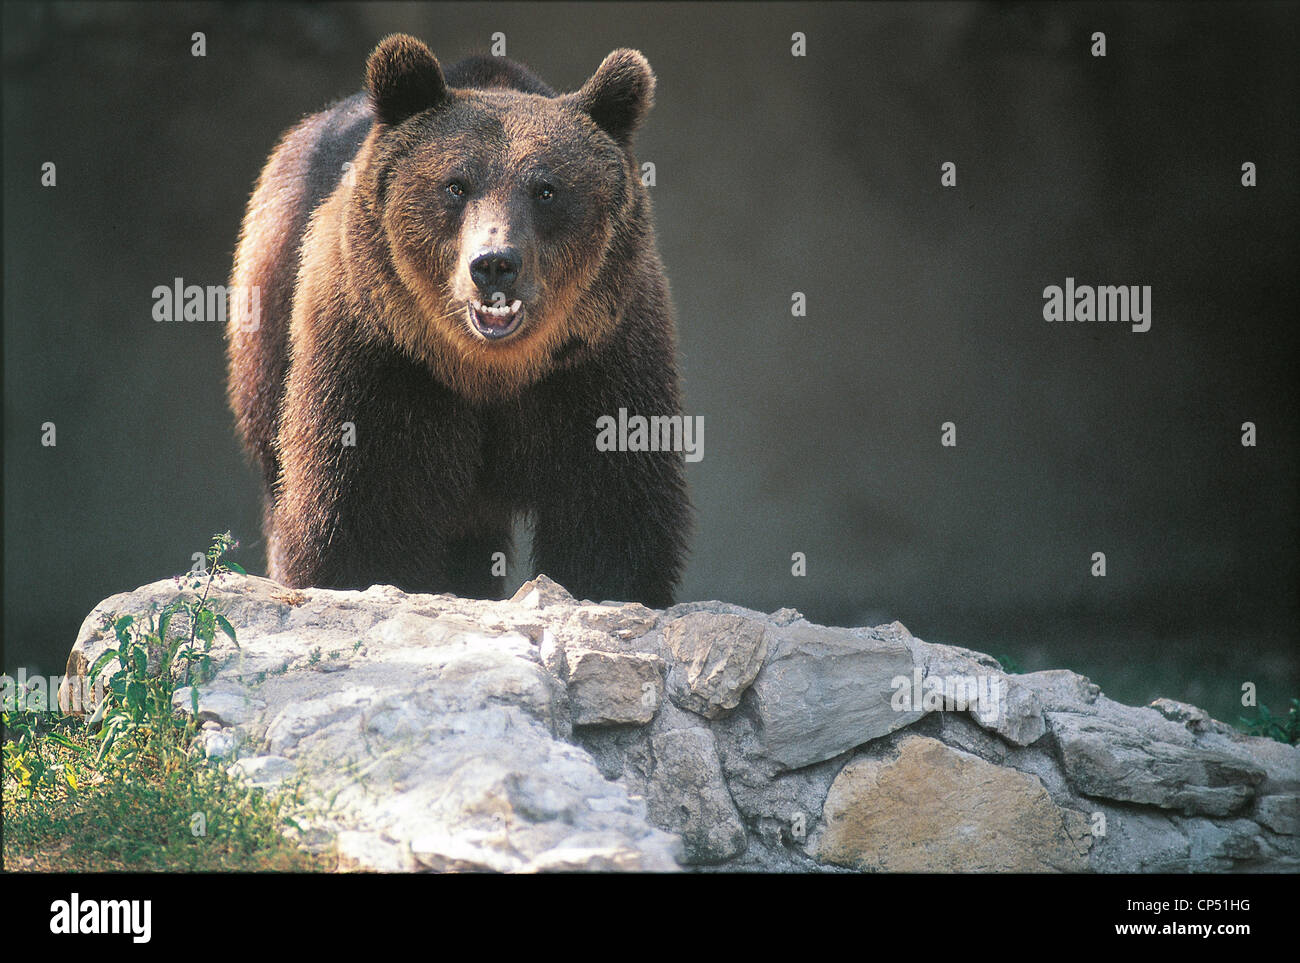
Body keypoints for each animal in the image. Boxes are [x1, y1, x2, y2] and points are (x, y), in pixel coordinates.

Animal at [226, 34, 690, 607]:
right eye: (456, 185)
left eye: (546, 189)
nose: (494, 263)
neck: (486, 369)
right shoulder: (379, 356)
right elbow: (361, 505)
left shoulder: (600, 359)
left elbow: (612, 508)